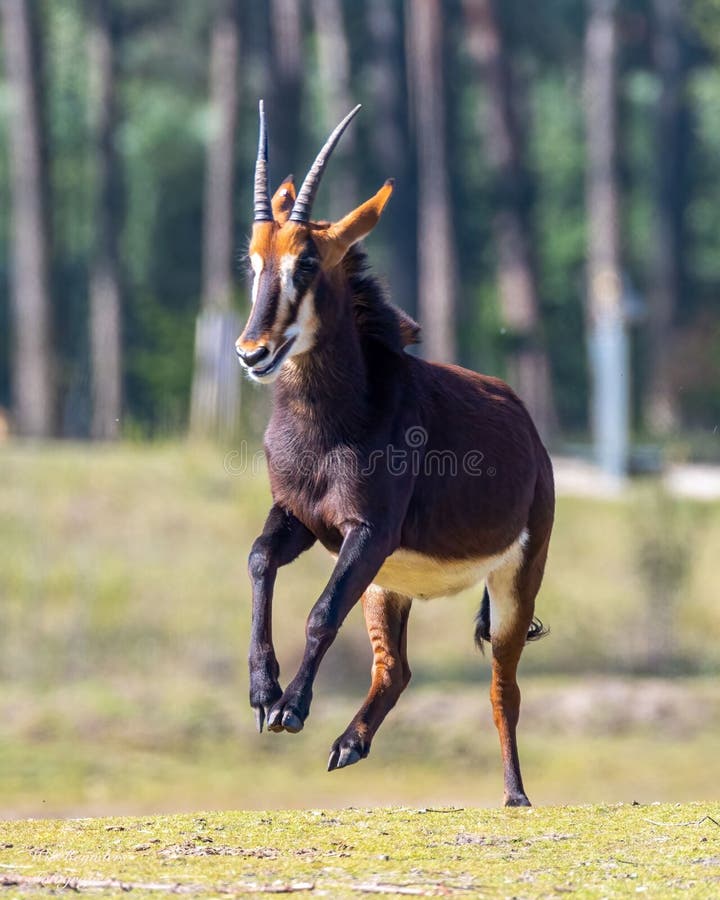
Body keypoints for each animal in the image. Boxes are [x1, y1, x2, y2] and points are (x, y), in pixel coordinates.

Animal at [236, 101, 554, 807]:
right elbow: (259, 560)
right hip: (389, 584)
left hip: (513, 578)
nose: (251, 352)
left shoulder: (369, 530)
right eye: (253, 262)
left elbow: (321, 611)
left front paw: (290, 709)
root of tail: (531, 430)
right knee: (397, 670)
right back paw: (348, 744)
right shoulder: (303, 519)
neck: (329, 425)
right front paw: (264, 693)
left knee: (504, 688)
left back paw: (516, 793)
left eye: (305, 264)